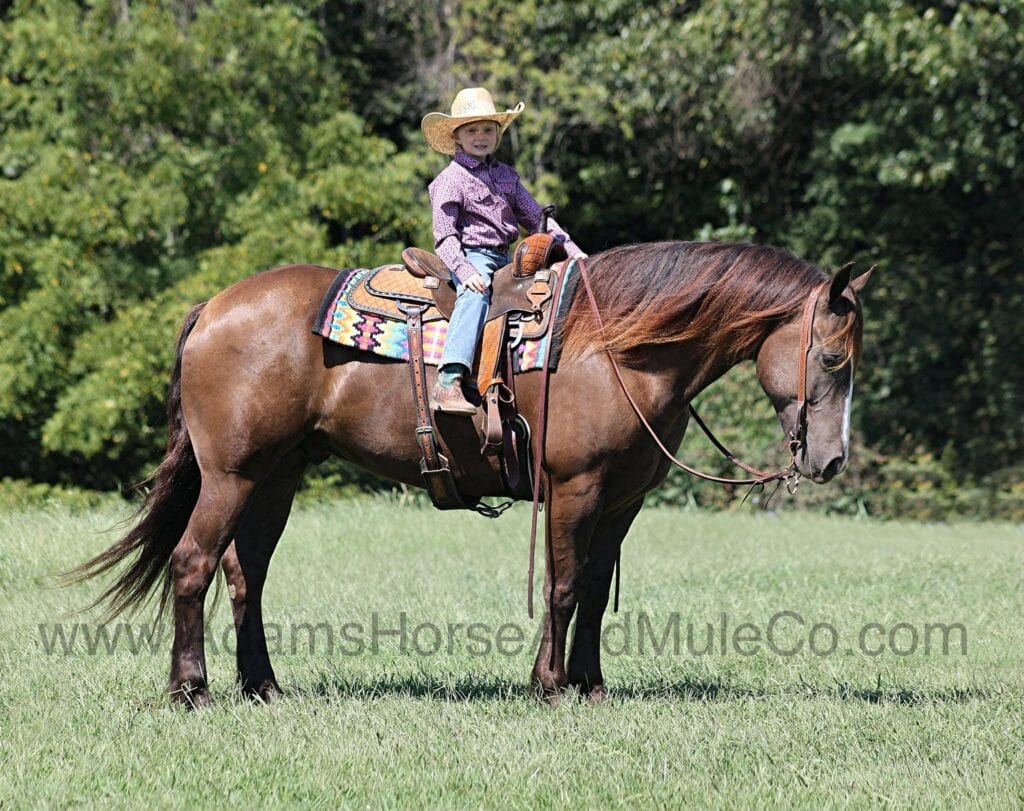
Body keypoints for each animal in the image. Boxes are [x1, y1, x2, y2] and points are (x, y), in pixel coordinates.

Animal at [69, 240, 871, 707]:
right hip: (231, 473)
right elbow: (563, 585)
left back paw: (262, 686)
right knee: (193, 562)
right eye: (834, 358)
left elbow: (594, 587)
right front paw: (549, 687)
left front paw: (590, 684)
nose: (831, 460)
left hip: (276, 476)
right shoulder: (576, 486)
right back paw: (190, 690)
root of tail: (212, 308)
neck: (621, 345)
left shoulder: (623, 498)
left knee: (245, 574)